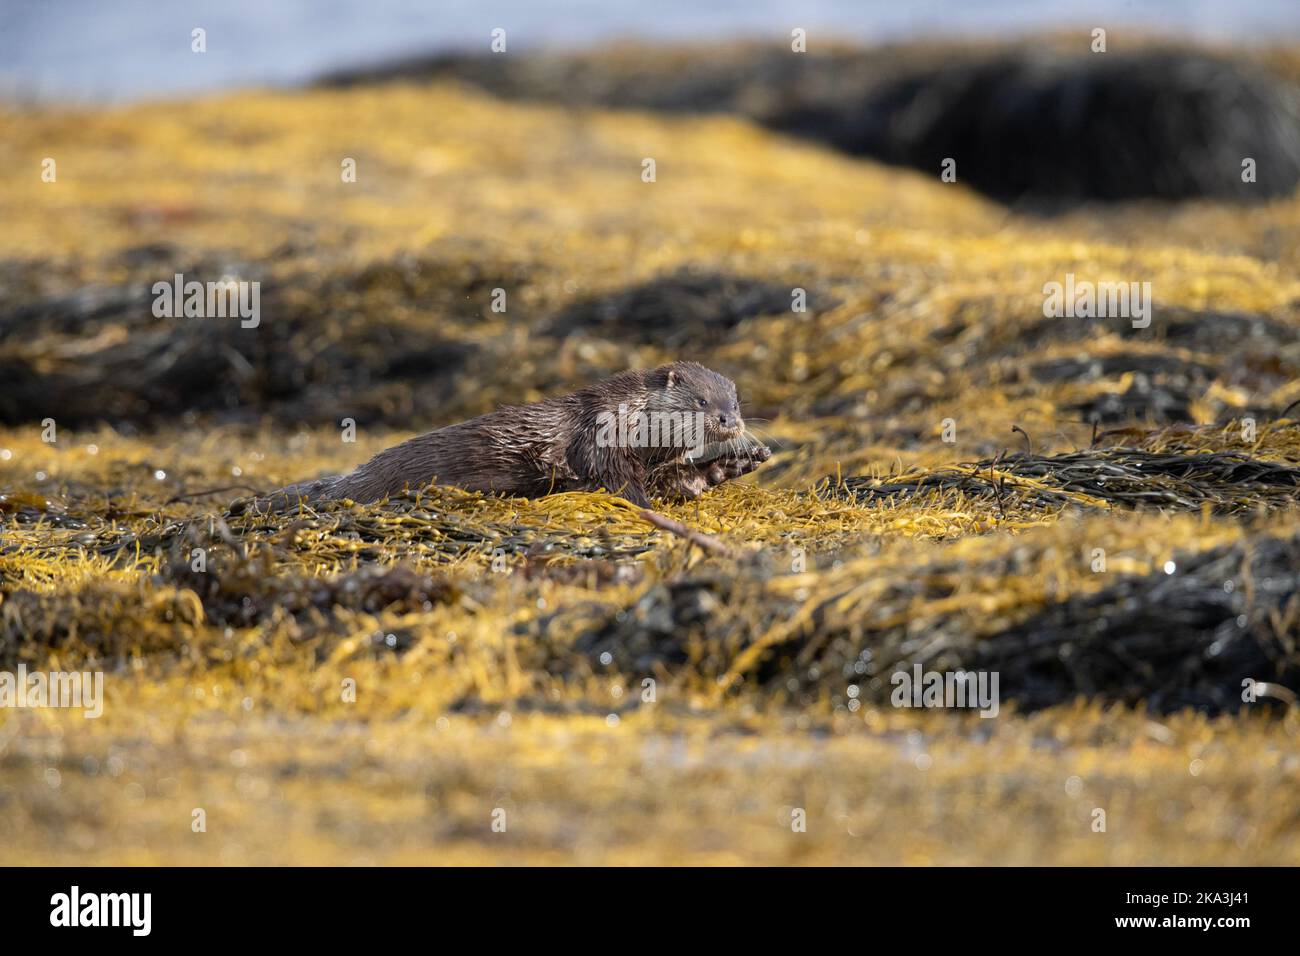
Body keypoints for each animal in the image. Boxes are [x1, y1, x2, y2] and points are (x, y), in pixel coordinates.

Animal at [249, 362, 770, 511]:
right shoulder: (599, 442)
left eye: (735, 402)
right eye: (701, 402)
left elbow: (681, 482)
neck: (628, 416)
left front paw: (742, 460)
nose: (731, 422)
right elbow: (623, 486)